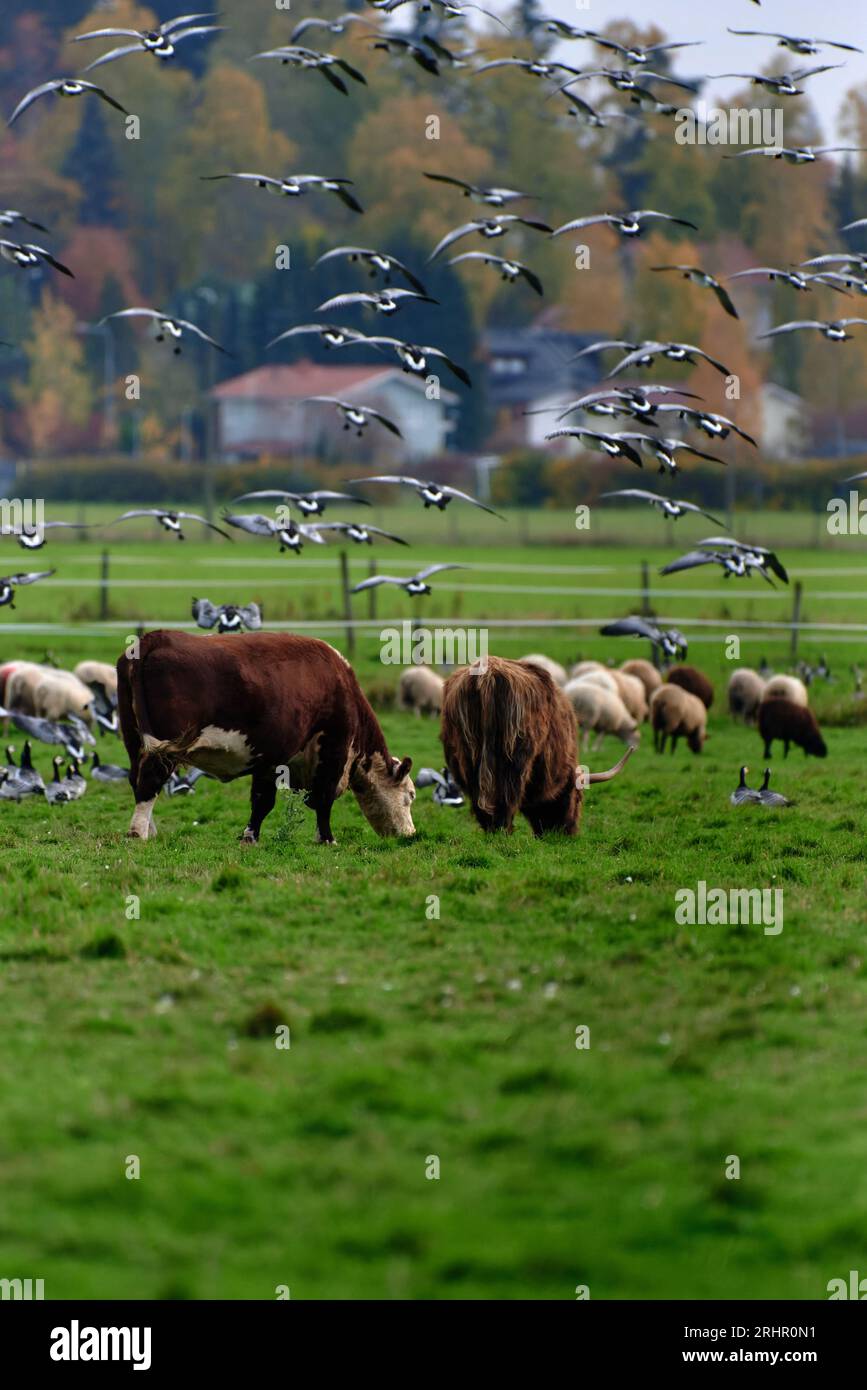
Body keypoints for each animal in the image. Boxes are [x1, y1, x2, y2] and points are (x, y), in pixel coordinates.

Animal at [117, 631, 415, 844]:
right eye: (410, 795)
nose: (410, 834)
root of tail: (156, 637)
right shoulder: (332, 750)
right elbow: (322, 799)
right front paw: (327, 839)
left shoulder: (271, 758)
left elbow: (262, 800)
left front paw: (250, 836)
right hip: (164, 749)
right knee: (150, 780)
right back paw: (137, 833)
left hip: (134, 739)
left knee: (136, 779)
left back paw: (151, 830)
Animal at [440, 655, 632, 835]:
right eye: (577, 797)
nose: (570, 833)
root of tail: (486, 676)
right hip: (515, 757)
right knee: (507, 797)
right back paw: (504, 832)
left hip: (465, 755)